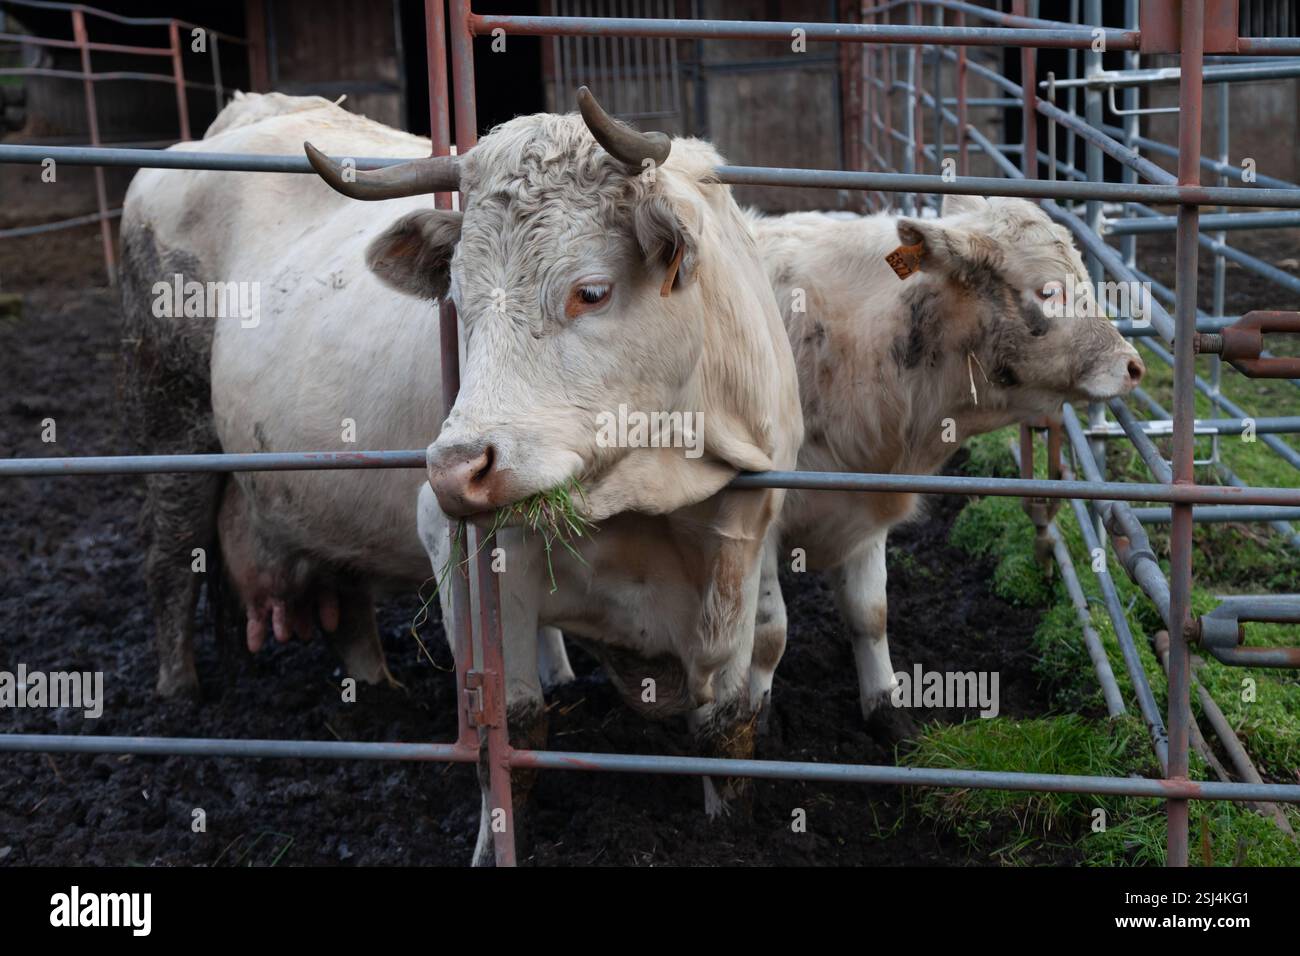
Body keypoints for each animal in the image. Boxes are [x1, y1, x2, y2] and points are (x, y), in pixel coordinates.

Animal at [119, 89, 802, 864]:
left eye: (591, 291)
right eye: (458, 297)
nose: (453, 468)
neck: (652, 492)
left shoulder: (742, 534)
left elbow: (732, 713)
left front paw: (729, 826)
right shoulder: (464, 549)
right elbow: (507, 726)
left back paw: (375, 686)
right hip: (170, 420)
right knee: (170, 561)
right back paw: (179, 693)